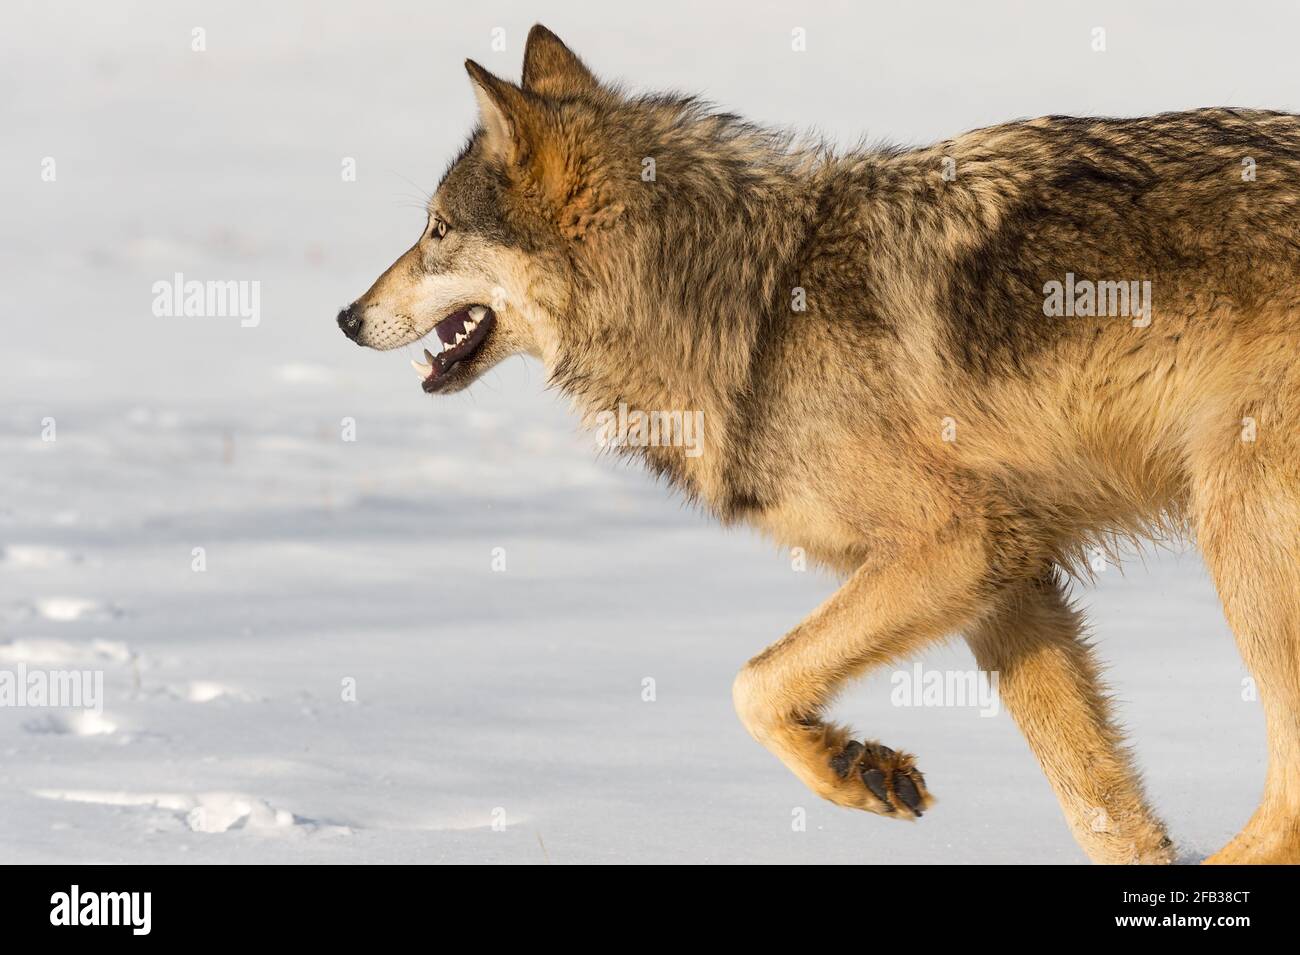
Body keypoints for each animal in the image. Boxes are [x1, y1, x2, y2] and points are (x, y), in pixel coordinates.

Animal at [338, 25, 1300, 864]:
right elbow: (1103, 809)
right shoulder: (1012, 583)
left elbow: (752, 683)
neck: (756, 305)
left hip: (1236, 531)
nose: (346, 316)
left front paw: (851, 766)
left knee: (1284, 800)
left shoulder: (958, 542)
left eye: (435, 231)